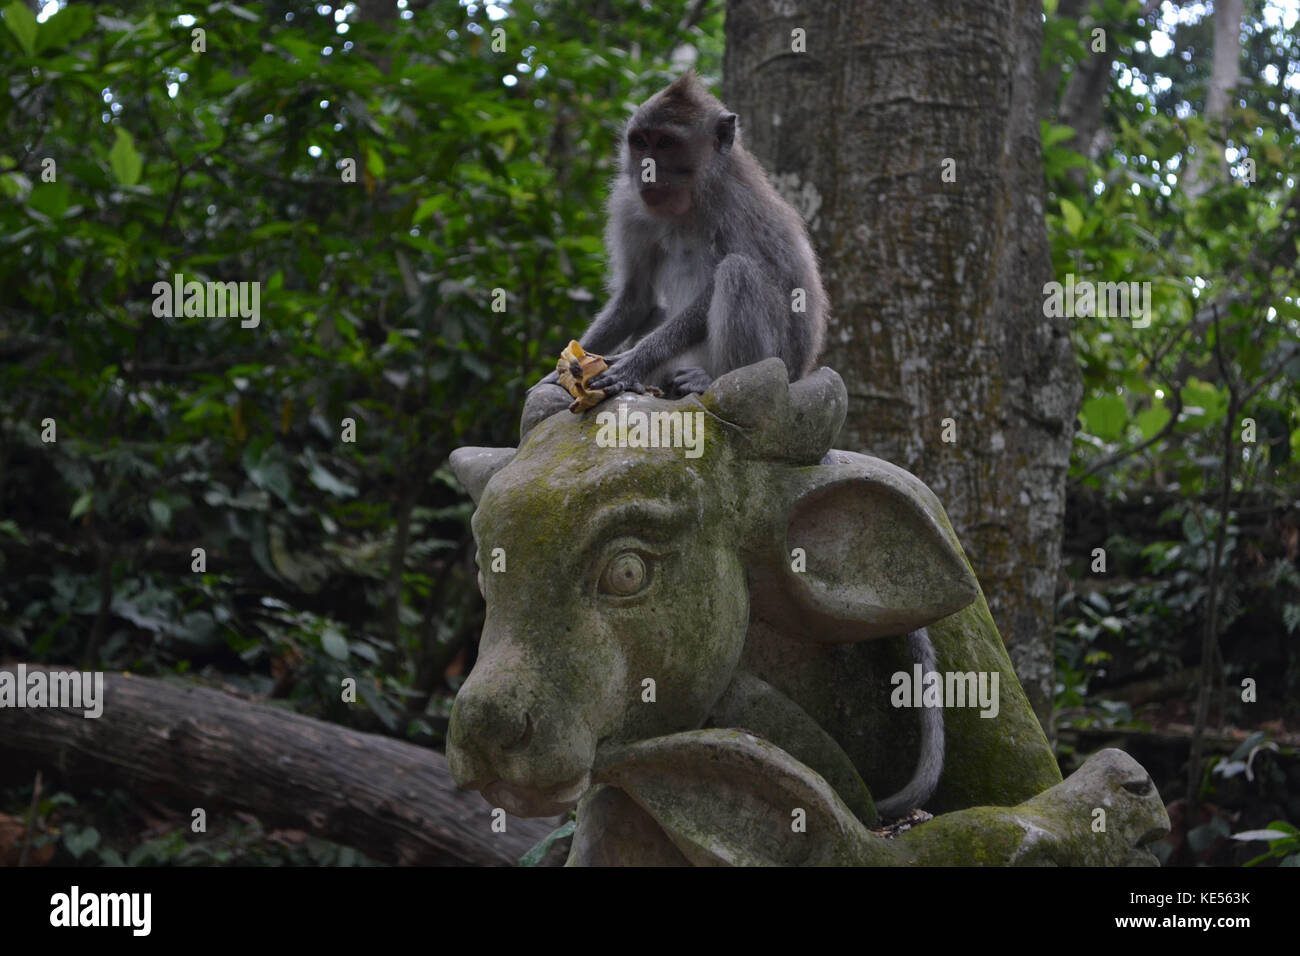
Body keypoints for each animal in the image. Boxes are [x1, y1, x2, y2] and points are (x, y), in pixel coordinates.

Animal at [539, 72, 828, 399]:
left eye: (666, 142)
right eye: (640, 142)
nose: (647, 170)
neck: (687, 200)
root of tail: (801, 371)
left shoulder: (734, 204)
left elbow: (714, 290)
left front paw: (635, 361)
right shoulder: (629, 205)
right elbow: (636, 297)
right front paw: (556, 374)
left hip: (779, 360)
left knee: (738, 272)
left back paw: (714, 378)